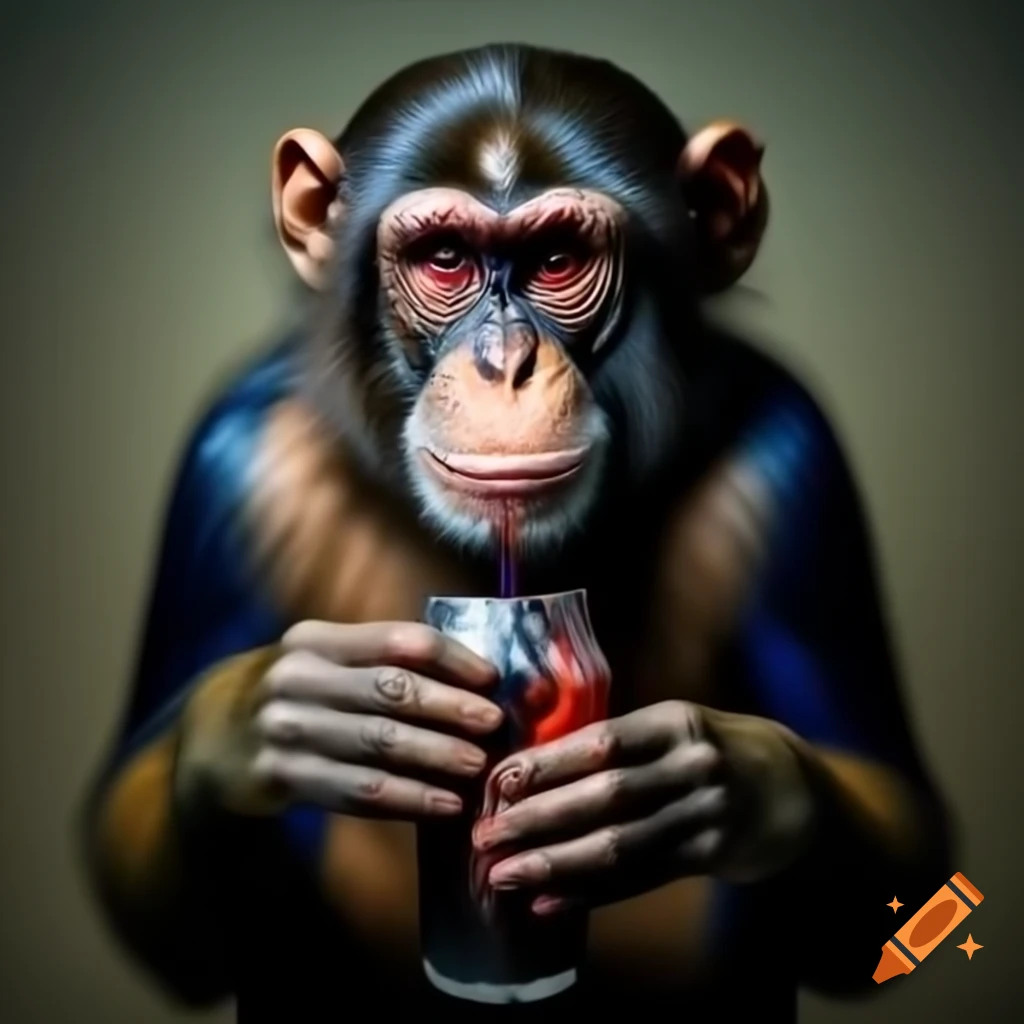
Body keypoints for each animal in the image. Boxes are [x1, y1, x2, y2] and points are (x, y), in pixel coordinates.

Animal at [81, 44, 951, 1022]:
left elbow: (895, 827)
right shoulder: (226, 467)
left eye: (558, 258)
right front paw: (269, 719)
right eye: (446, 258)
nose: (505, 363)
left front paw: (714, 784)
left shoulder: (797, 459)